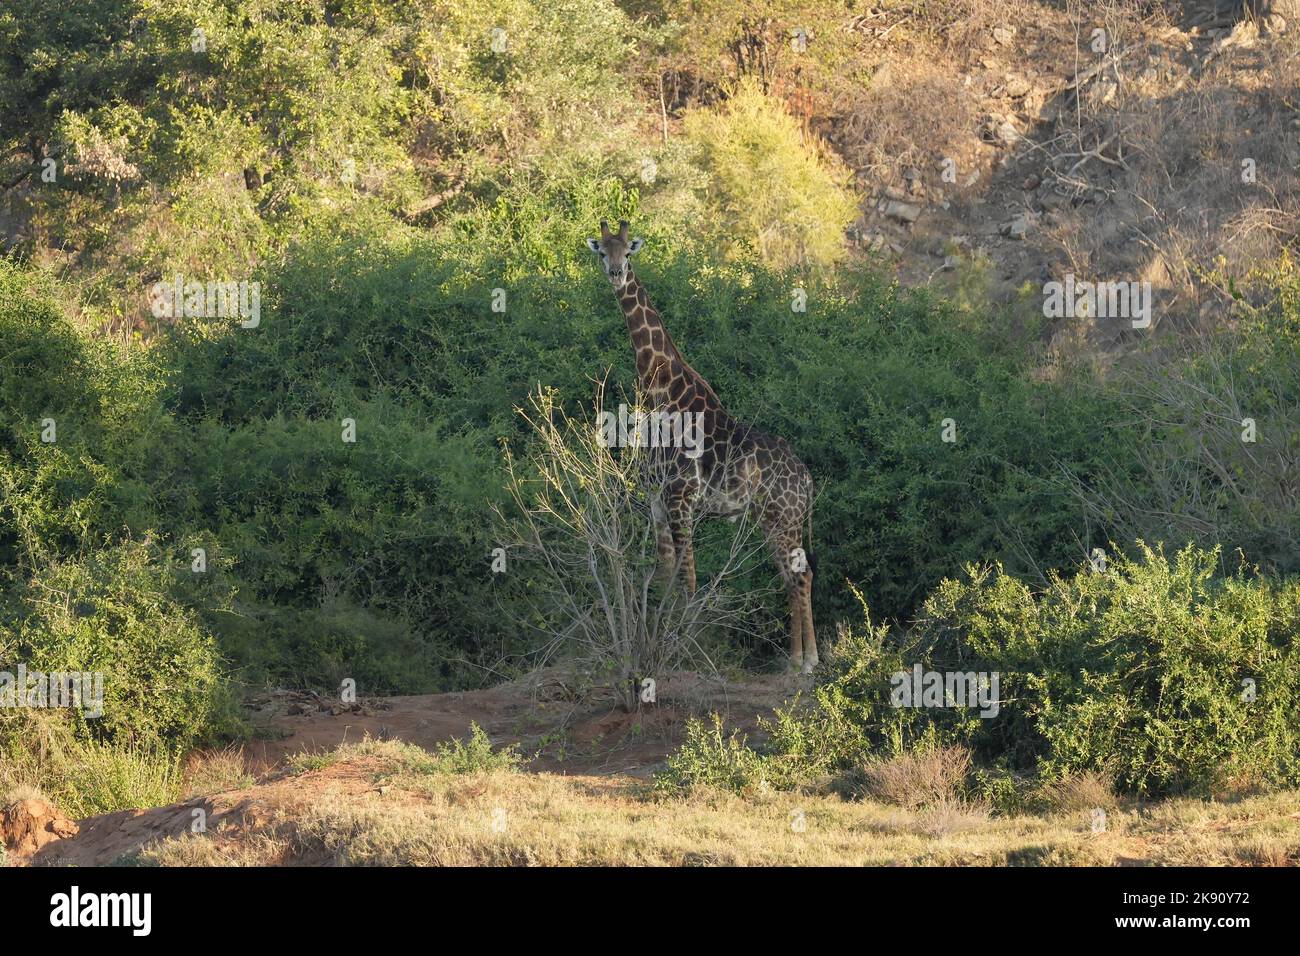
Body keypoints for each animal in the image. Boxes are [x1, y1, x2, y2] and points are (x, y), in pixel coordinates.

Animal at [586, 219, 819, 672]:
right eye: (602, 251)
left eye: (628, 251)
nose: (616, 274)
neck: (660, 390)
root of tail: (807, 481)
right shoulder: (658, 499)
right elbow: (665, 574)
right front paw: (659, 640)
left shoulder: (682, 498)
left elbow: (690, 579)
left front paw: (687, 650)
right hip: (771, 520)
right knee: (790, 576)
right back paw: (792, 661)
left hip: (784, 518)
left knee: (801, 575)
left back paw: (808, 662)